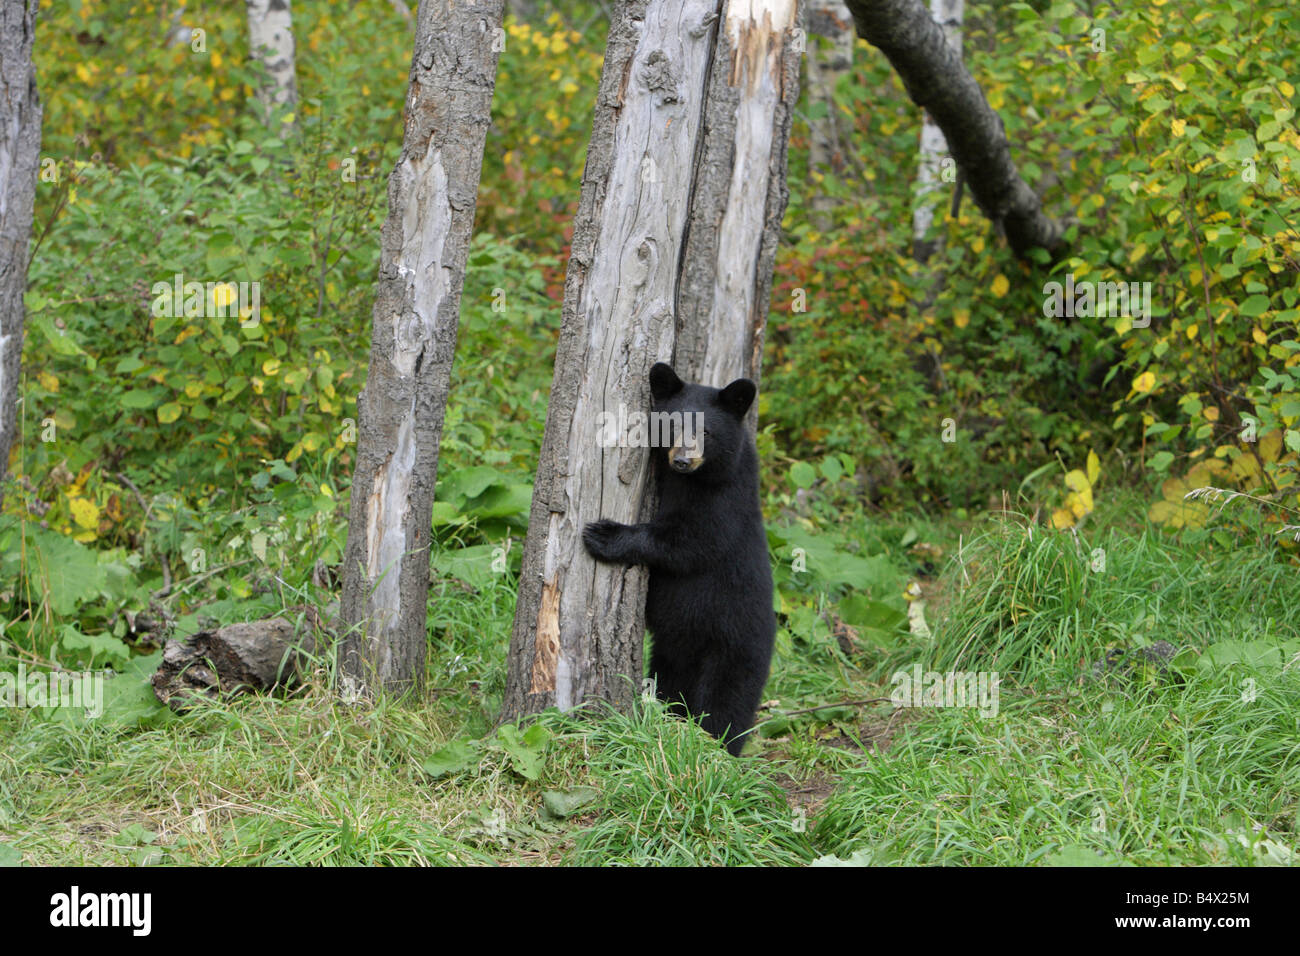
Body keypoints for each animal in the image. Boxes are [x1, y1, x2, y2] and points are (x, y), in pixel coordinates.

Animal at [582, 362, 776, 756]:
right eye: (671, 426)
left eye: (705, 431)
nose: (683, 460)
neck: (693, 481)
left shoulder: (725, 503)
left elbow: (689, 542)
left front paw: (605, 534)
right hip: (675, 649)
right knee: (671, 683)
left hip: (734, 647)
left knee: (726, 706)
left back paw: (716, 749)